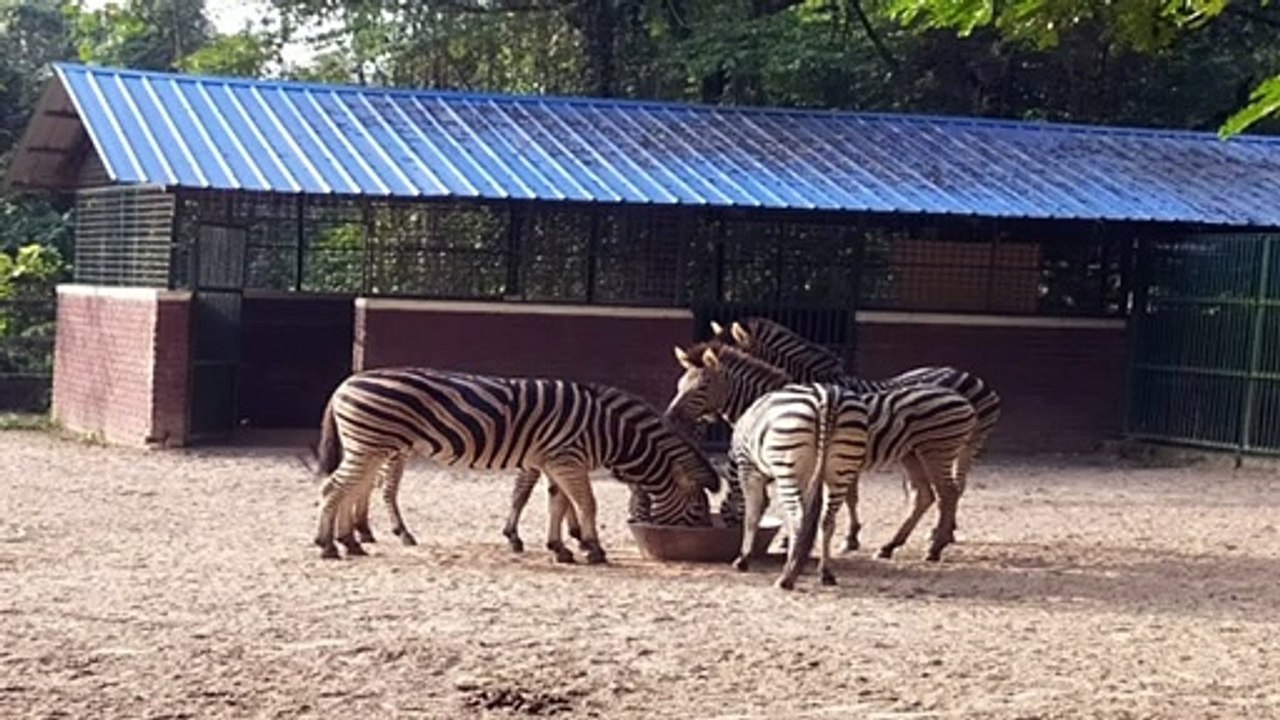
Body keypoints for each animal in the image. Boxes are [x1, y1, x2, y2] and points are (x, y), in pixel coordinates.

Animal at [311, 366, 720, 562]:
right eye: (699, 508)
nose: (704, 534)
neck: (606, 429)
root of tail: (346, 383)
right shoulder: (565, 459)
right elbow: (583, 503)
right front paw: (592, 548)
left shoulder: (556, 461)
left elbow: (557, 503)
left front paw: (561, 547)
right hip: (373, 446)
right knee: (337, 488)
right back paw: (330, 545)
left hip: (370, 446)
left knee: (350, 489)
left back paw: (351, 542)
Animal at [668, 344, 978, 561]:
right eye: (680, 384)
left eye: (703, 386)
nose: (670, 418)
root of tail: (962, 399)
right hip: (911, 453)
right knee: (923, 496)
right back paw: (890, 546)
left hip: (936, 450)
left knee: (948, 493)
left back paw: (935, 547)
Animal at [726, 382, 869, 589]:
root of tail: (828, 396)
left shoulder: (749, 469)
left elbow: (752, 516)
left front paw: (743, 559)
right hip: (842, 470)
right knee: (827, 521)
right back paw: (825, 573)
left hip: (788, 466)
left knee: (798, 518)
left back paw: (787, 577)